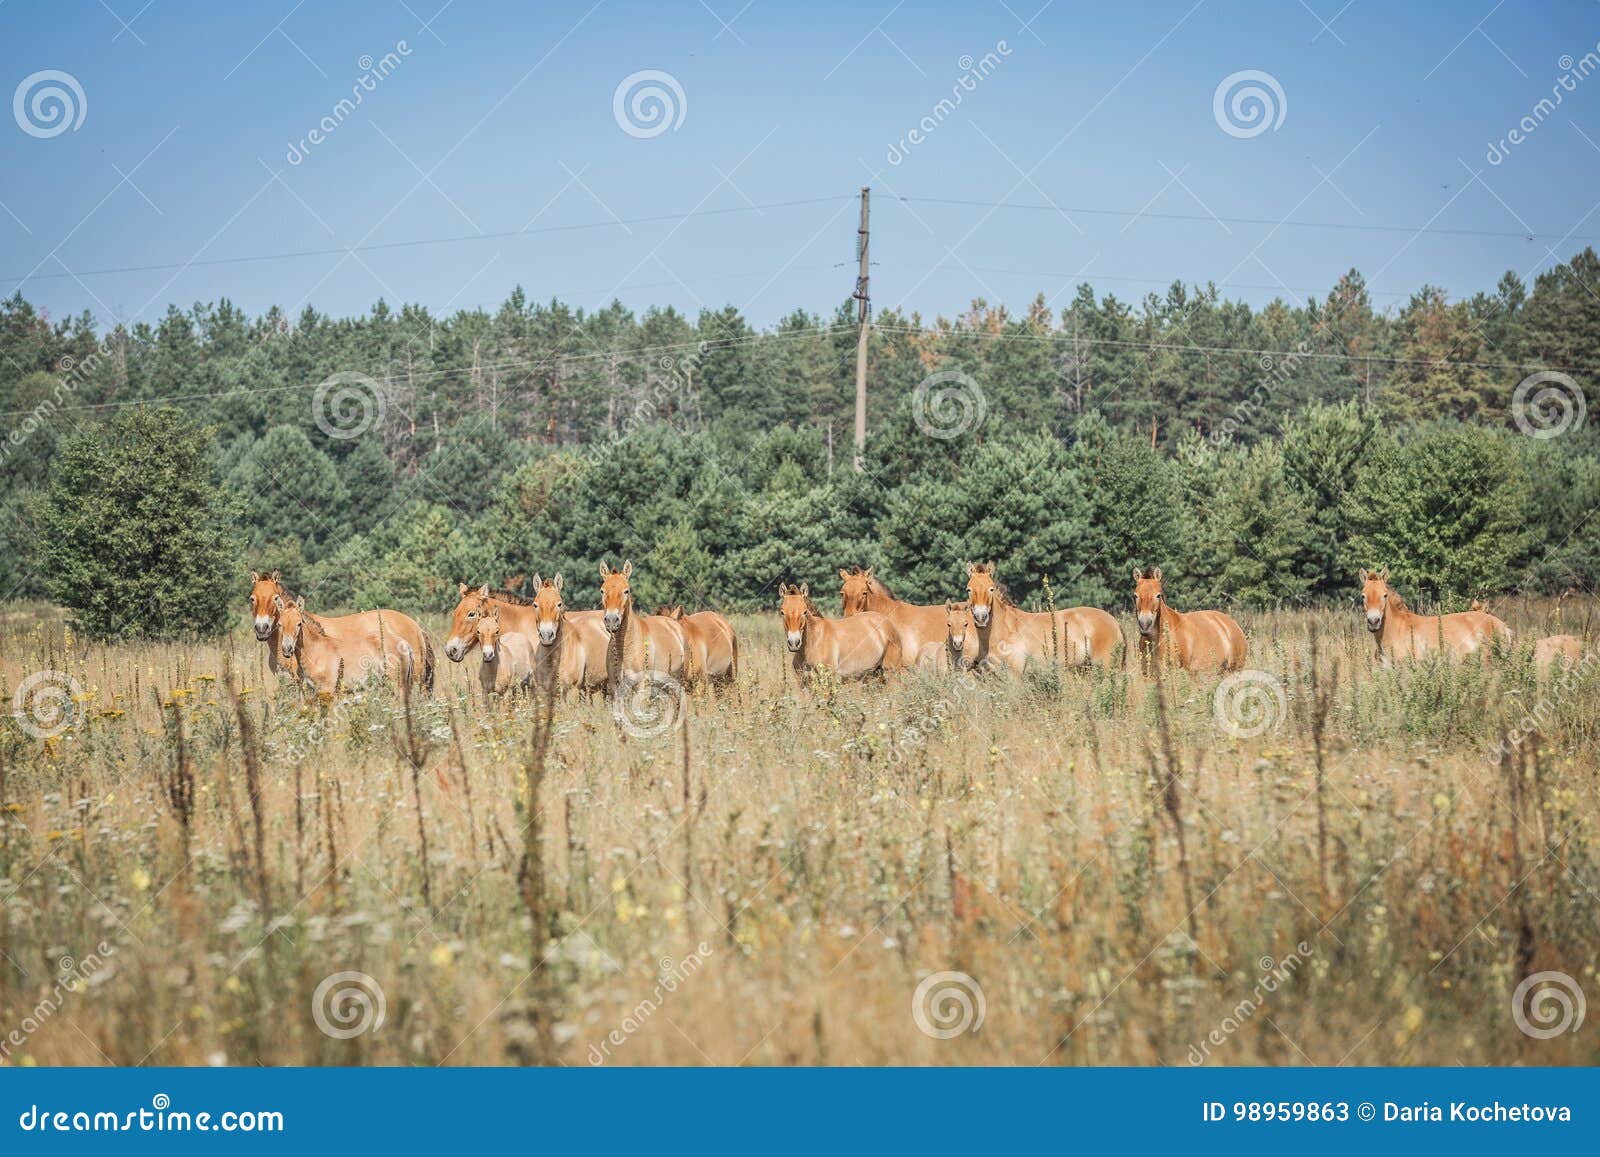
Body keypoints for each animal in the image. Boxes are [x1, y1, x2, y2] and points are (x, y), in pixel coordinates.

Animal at [274, 594, 434, 694]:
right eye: (280, 624)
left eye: (299, 623)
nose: (287, 649)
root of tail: (405, 644)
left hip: (397, 686)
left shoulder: (328, 691)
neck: (316, 651)